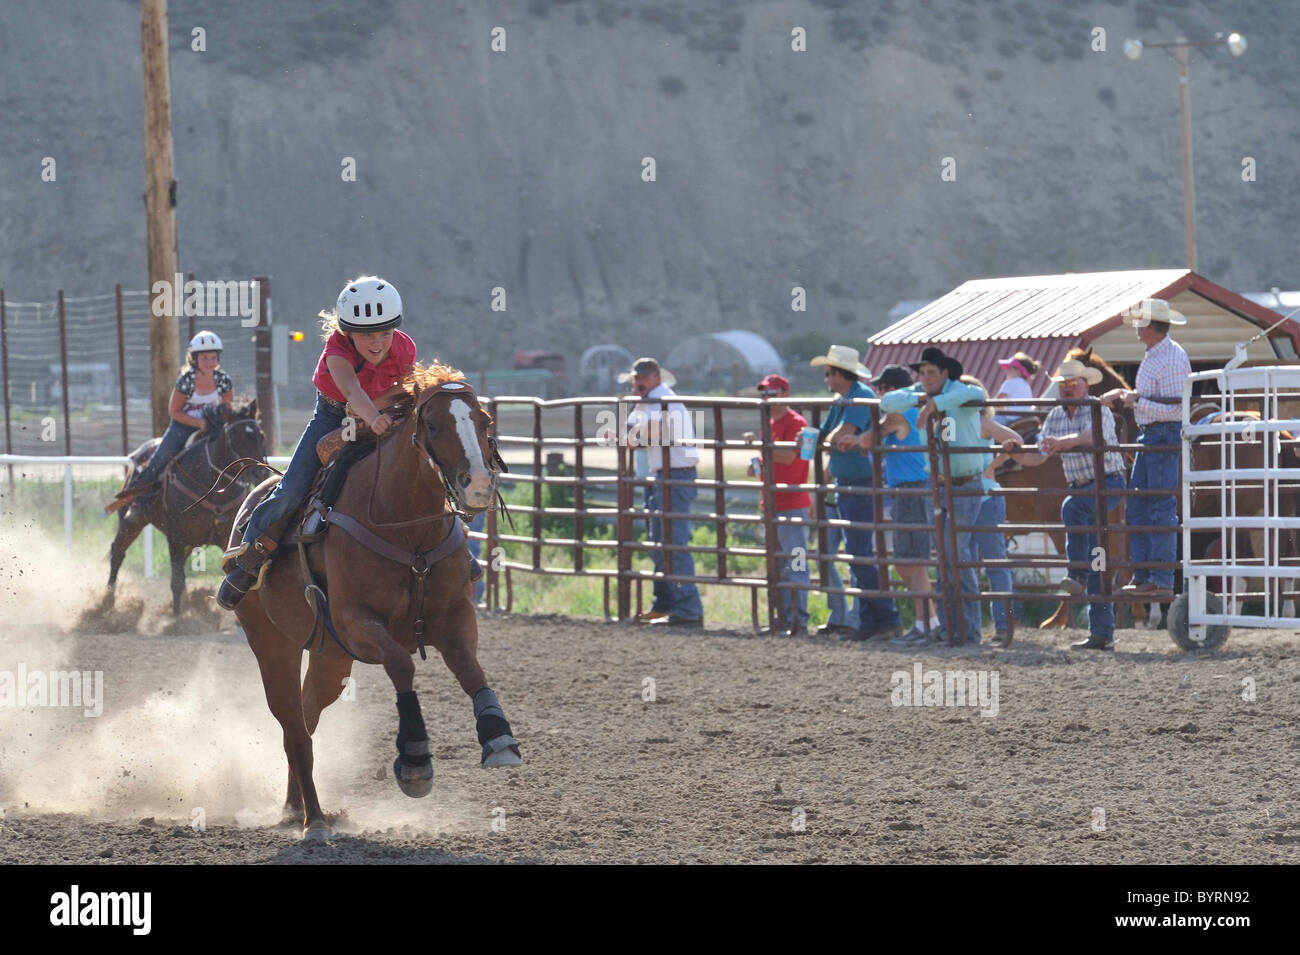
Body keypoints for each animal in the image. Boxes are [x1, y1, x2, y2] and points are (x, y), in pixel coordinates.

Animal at [106, 400, 268, 614]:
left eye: (261, 435)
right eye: (236, 438)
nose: (261, 473)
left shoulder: (227, 537)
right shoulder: (176, 536)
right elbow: (177, 581)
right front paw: (177, 617)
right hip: (131, 522)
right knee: (117, 552)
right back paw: (107, 601)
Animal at [228, 365, 520, 840]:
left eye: (484, 420)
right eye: (433, 425)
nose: (478, 486)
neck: (406, 528)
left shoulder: (454, 617)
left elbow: (471, 669)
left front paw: (499, 739)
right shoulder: (357, 624)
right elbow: (401, 665)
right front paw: (416, 762)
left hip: (330, 658)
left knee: (307, 717)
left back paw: (294, 806)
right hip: (273, 645)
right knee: (293, 726)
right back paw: (314, 819)